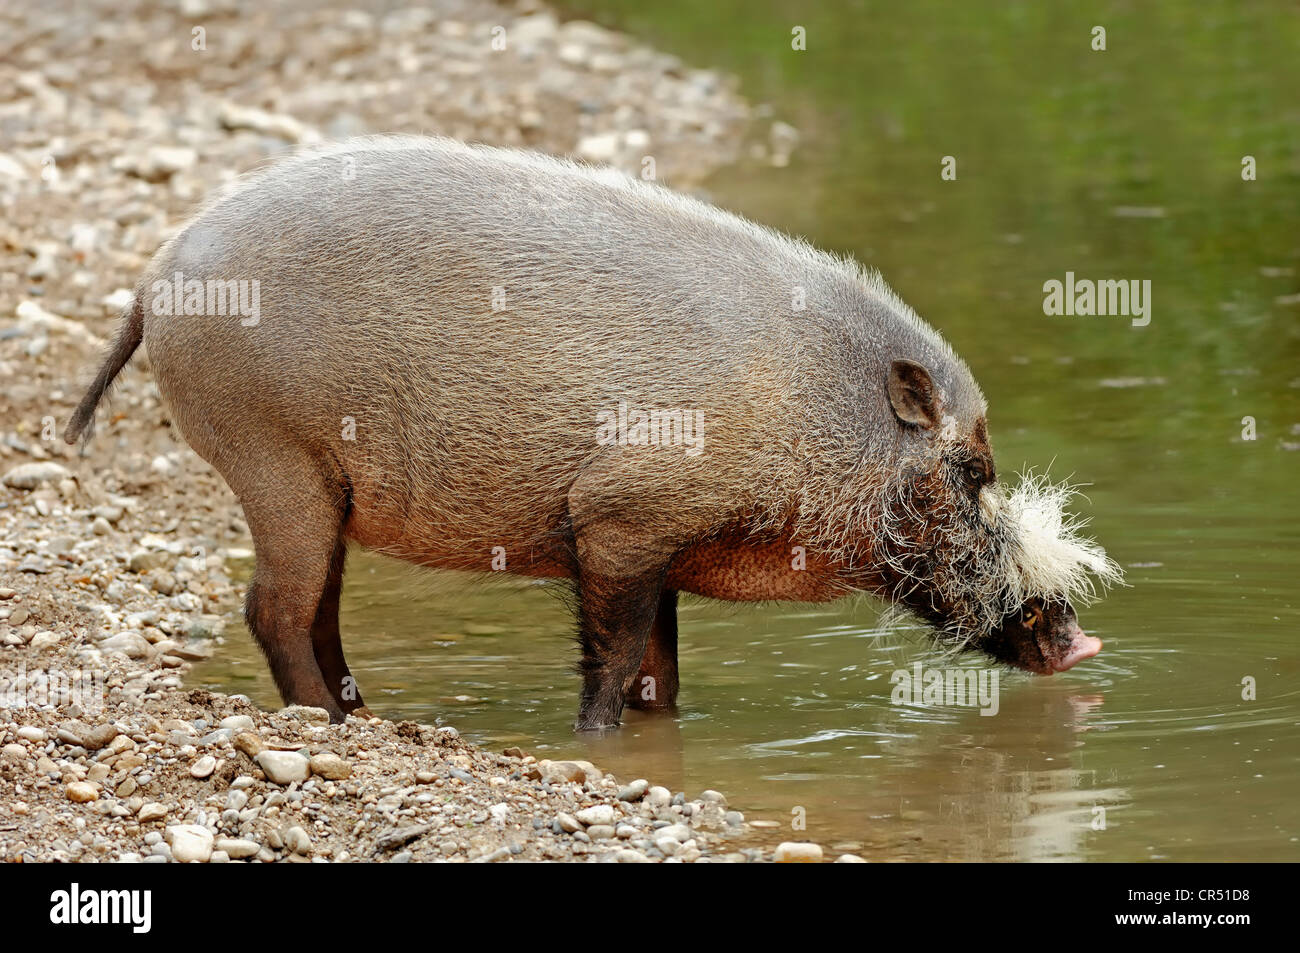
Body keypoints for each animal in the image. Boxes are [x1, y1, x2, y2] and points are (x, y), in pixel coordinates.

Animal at [65, 136, 1121, 729]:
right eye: (973, 471)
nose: (1084, 639)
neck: (808, 419)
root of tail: (155, 277)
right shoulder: (620, 516)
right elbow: (614, 660)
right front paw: (598, 739)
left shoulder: (662, 544)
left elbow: (664, 667)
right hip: (272, 455)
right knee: (272, 608)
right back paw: (331, 720)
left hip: (314, 487)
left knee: (316, 607)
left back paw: (365, 712)